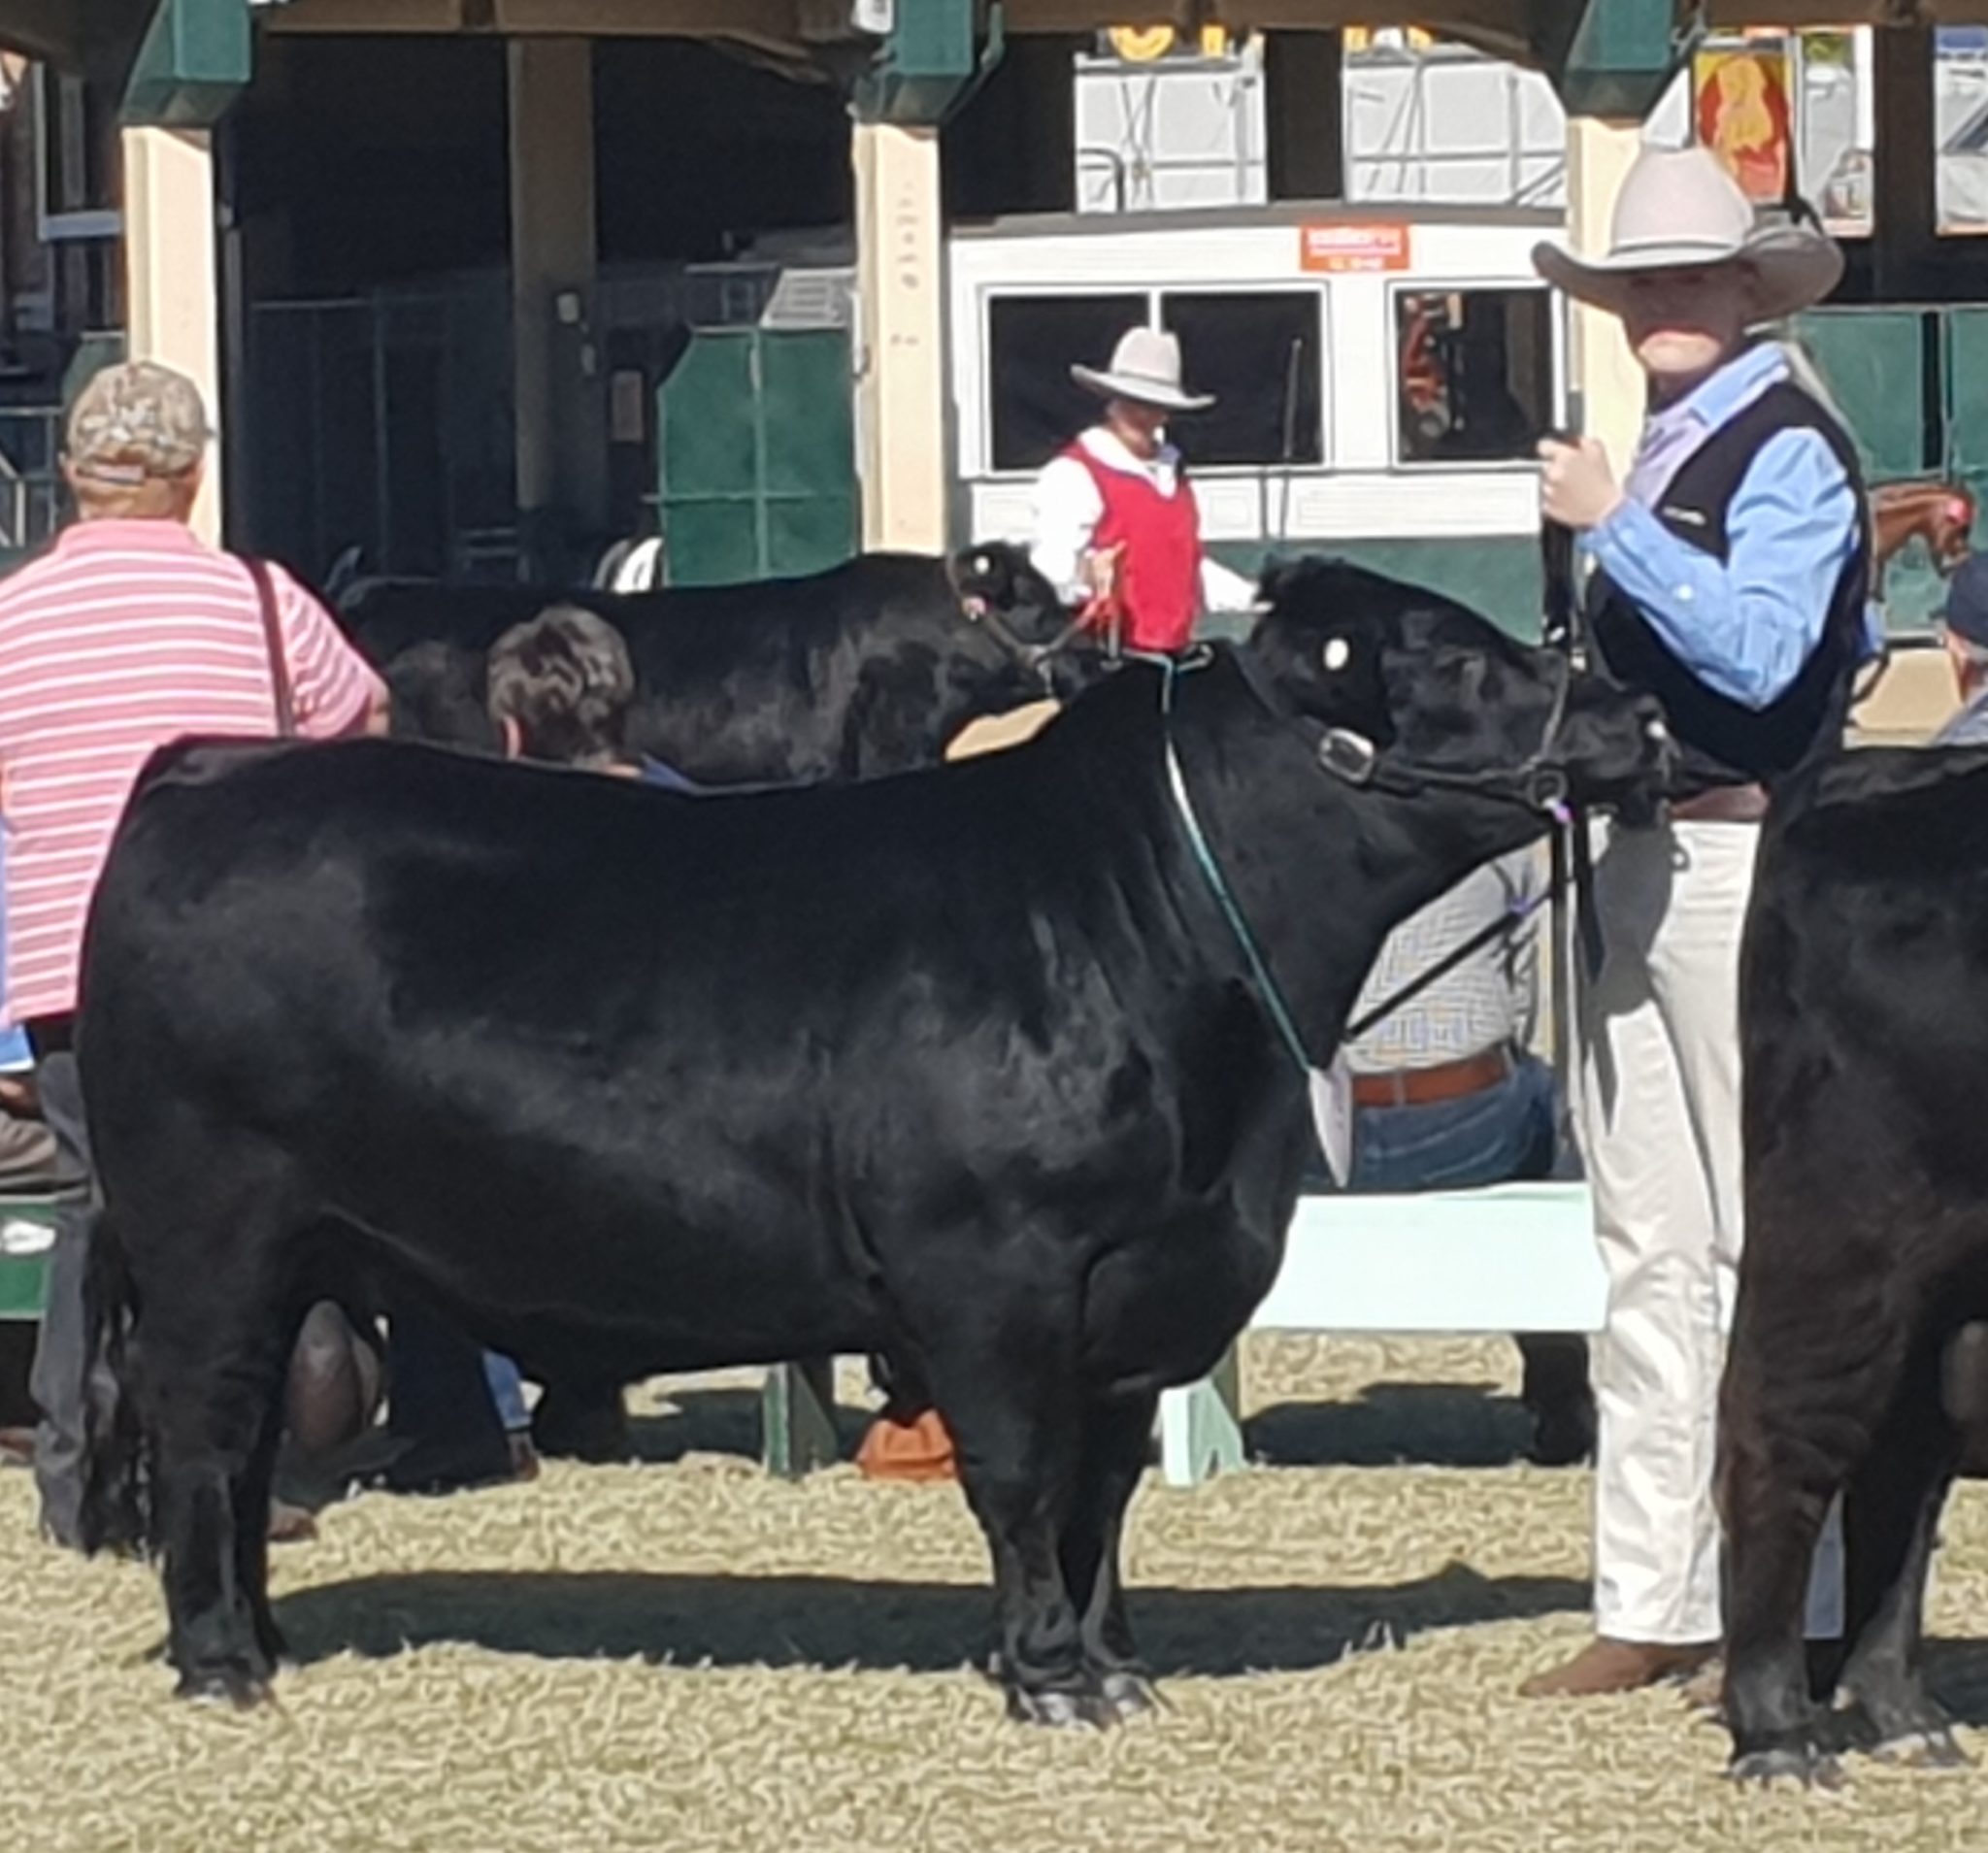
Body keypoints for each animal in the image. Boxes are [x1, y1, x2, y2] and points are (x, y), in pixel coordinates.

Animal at [1719, 744, 1988, 1786]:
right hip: (1838, 1234)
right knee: (1782, 1430)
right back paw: (1776, 1728)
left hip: (1941, 1281)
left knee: (1907, 1455)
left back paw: (1898, 1705)